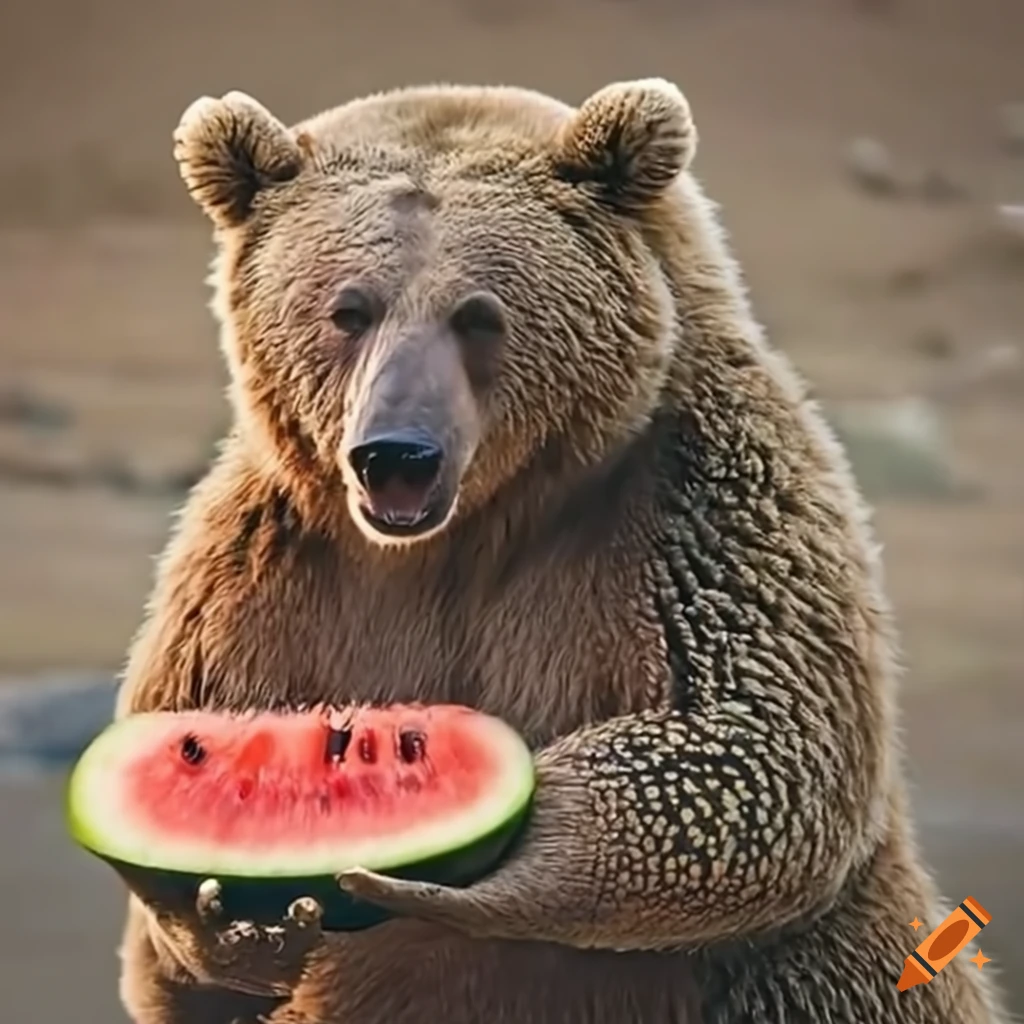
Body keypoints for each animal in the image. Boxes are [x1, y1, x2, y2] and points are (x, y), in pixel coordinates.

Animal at [111, 78, 1009, 1024]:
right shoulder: (267, 563)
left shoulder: (694, 508)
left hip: (808, 979)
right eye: (348, 310)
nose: (396, 453)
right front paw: (221, 921)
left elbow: (760, 738)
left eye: (478, 315)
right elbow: (181, 712)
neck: (471, 530)